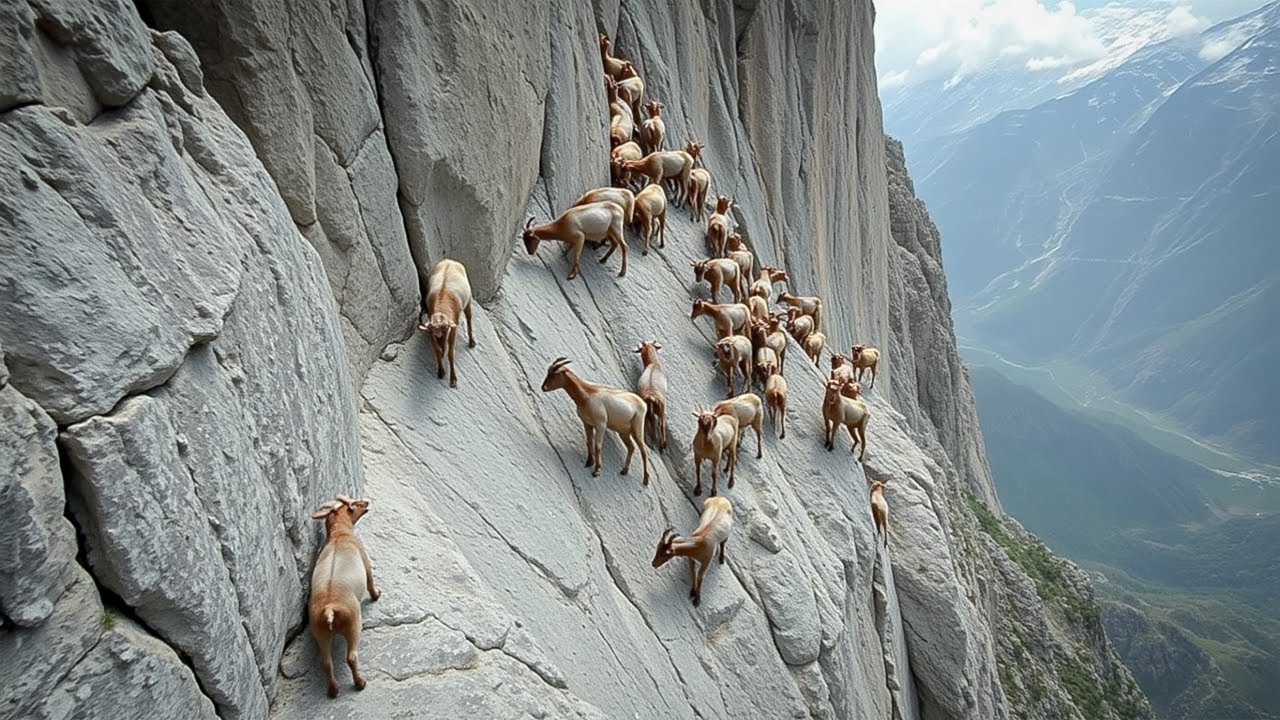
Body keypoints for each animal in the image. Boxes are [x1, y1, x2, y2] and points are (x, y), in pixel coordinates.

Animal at [309, 496, 380, 698]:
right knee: (351, 657)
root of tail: (330, 610)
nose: (366, 503)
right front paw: (377, 595)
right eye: (354, 503)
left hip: (321, 635)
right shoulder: (365, 560)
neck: (339, 534)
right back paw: (359, 682)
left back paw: (333, 690)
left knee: (326, 663)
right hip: (354, 626)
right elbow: (370, 582)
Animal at [418, 259, 475, 388]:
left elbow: (450, 353)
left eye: (446, 330)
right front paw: (440, 371)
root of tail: (450, 261)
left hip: (468, 301)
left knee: (469, 318)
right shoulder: (431, 333)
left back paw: (472, 342)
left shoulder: (453, 329)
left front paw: (453, 379)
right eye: (435, 333)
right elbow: (437, 350)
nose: (440, 338)